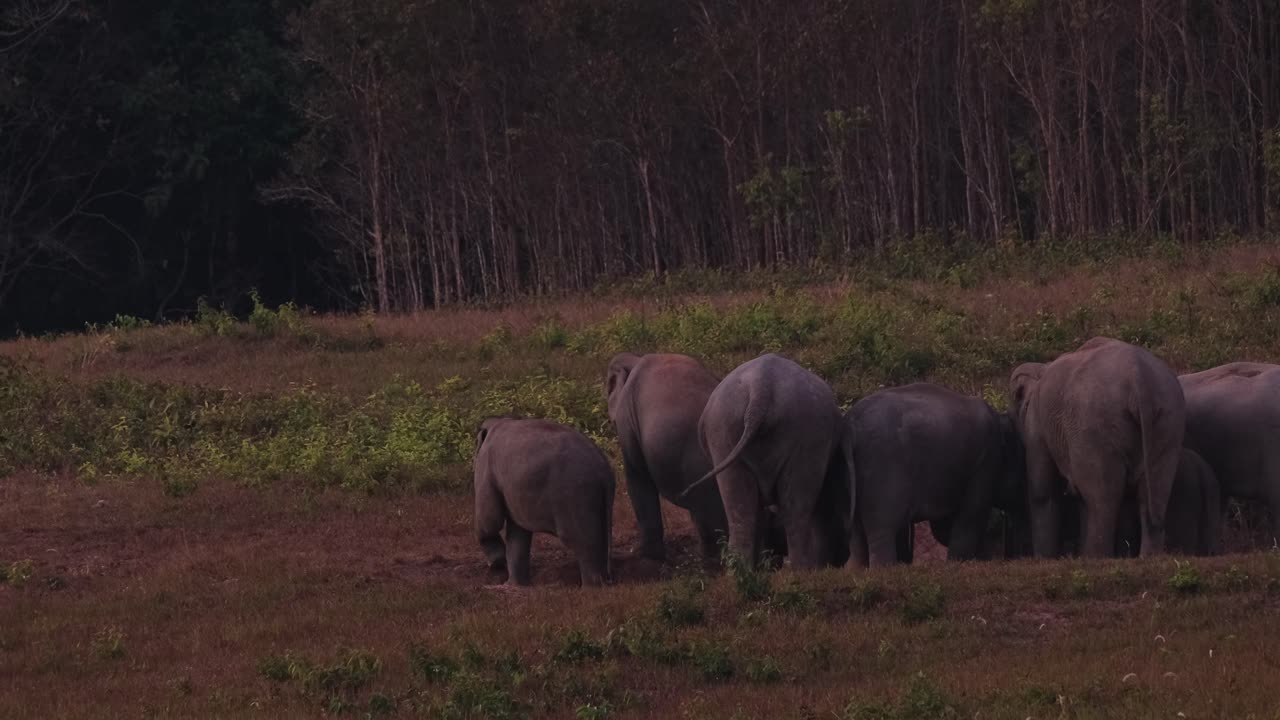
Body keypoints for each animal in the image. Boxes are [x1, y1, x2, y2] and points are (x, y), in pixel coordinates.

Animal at [473, 417, 615, 586]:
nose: (496, 567)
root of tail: (604, 471)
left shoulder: (486, 468)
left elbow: (490, 520)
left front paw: (497, 564)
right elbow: (518, 531)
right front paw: (514, 586)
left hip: (576, 496)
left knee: (582, 542)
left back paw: (589, 588)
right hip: (598, 499)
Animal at [605, 352, 729, 562]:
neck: (636, 359)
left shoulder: (627, 418)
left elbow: (637, 475)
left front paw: (647, 557)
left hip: (699, 462)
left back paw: (708, 559)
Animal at [683, 353, 848, 569]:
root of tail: (761, 389)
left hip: (723, 429)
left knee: (741, 508)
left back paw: (744, 572)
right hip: (807, 434)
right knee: (796, 511)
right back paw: (801, 572)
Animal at [843, 382, 1024, 567]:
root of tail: (850, 426)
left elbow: (945, 524)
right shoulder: (985, 461)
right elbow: (971, 513)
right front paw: (958, 563)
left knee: (857, 534)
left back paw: (857, 570)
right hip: (883, 466)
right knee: (883, 526)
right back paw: (885, 568)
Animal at [1008, 336, 1185, 558]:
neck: (1042, 369)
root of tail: (1139, 379)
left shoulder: (1037, 423)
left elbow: (1043, 492)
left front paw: (1043, 560)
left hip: (1094, 428)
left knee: (1101, 502)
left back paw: (1095, 559)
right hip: (1168, 423)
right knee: (1154, 495)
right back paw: (1147, 558)